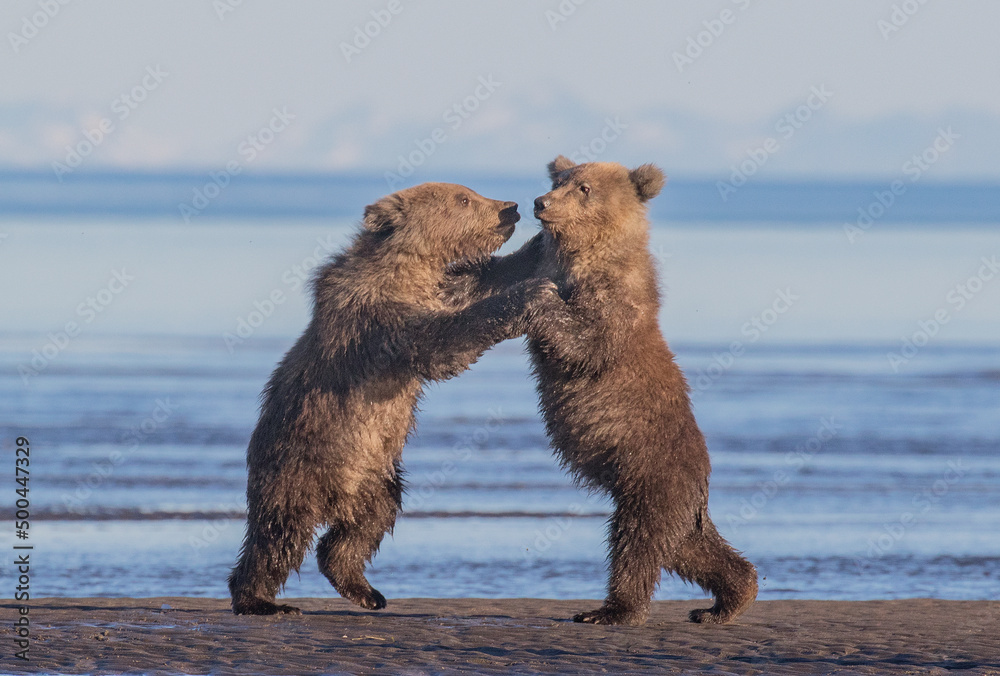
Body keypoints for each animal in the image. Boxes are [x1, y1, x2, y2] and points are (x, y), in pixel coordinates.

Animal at [228, 182, 551, 615]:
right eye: (464, 199)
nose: (510, 207)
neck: (404, 270)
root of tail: (336, 498)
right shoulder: (376, 318)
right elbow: (443, 343)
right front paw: (532, 293)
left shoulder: (436, 290)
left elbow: (479, 281)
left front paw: (537, 248)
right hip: (297, 465)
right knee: (279, 533)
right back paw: (260, 600)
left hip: (374, 475)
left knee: (366, 526)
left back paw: (364, 588)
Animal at [526, 156, 758, 626]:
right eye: (559, 180)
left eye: (584, 188)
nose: (541, 202)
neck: (584, 255)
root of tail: (703, 478)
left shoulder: (614, 303)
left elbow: (584, 343)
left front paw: (541, 300)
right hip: (668, 497)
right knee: (686, 548)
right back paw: (727, 600)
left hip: (651, 475)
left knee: (638, 542)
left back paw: (613, 610)